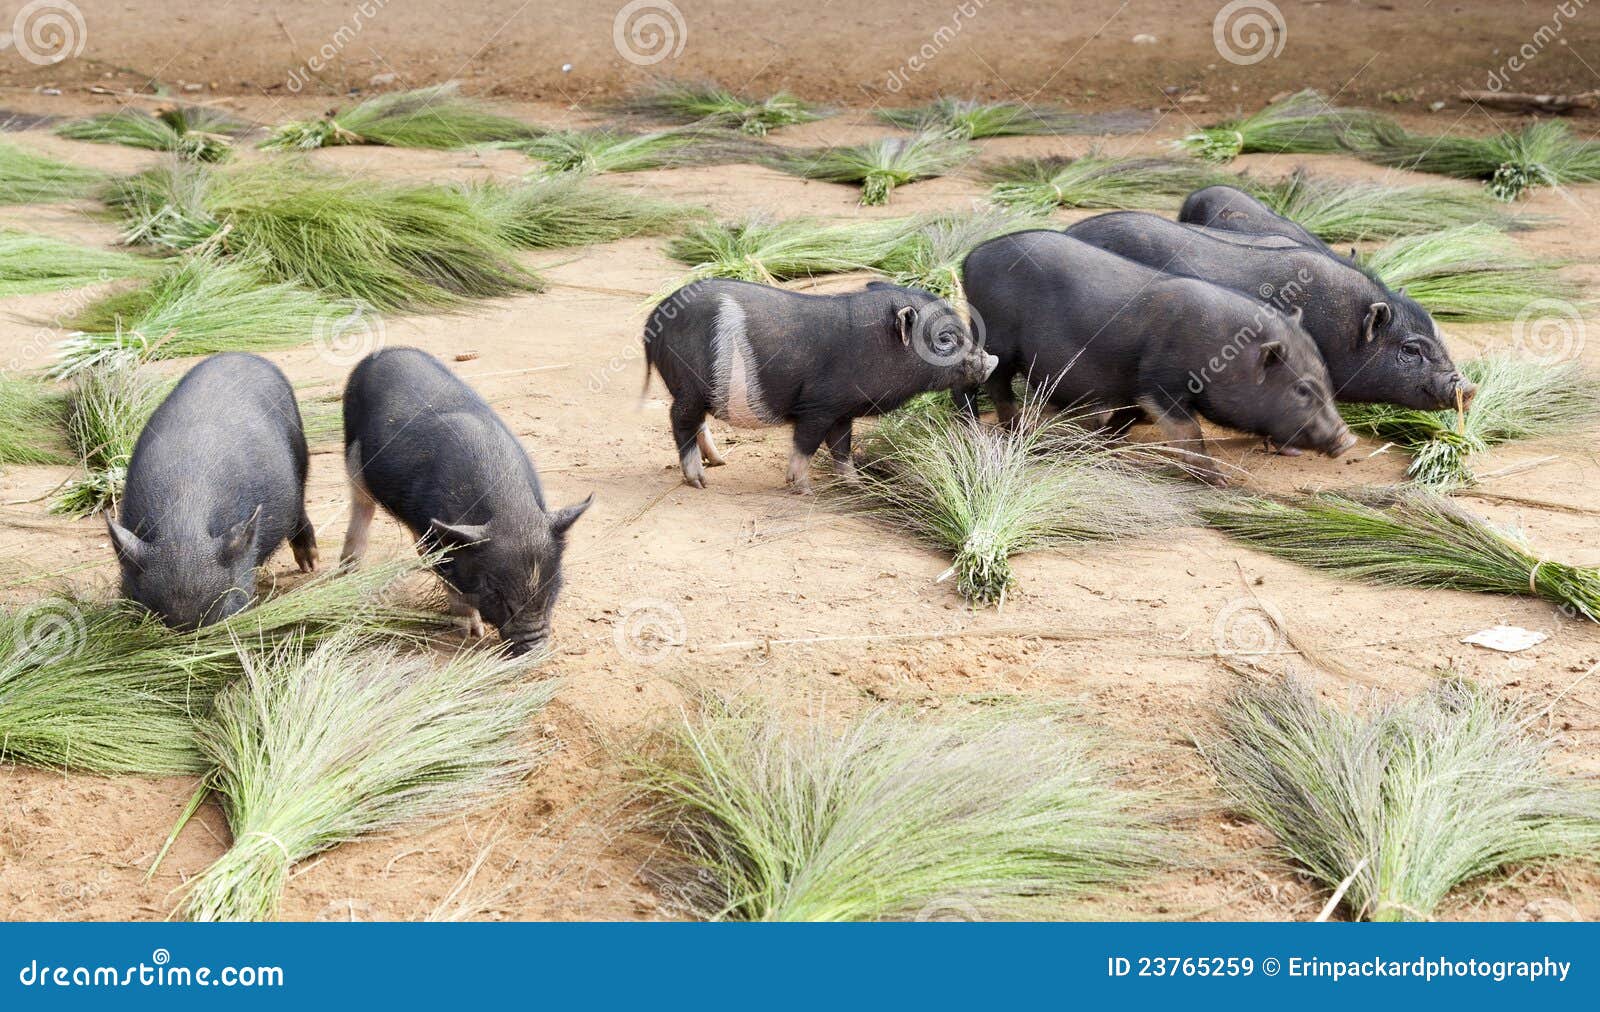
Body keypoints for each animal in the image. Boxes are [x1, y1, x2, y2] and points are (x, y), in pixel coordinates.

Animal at [105, 352, 317, 630]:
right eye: (149, 609)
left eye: (225, 603)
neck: (184, 526)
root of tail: (241, 354)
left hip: (300, 444)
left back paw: (310, 565)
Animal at [340, 347, 591, 656]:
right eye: (492, 588)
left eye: (553, 581)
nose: (534, 648)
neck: (510, 509)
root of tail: (382, 352)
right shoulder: (435, 536)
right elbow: (451, 581)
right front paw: (471, 633)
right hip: (353, 454)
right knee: (361, 505)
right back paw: (348, 570)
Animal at [642, 278, 997, 492]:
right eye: (945, 338)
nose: (990, 360)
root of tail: (653, 322)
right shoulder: (818, 407)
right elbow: (806, 444)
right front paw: (802, 488)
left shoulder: (842, 411)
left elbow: (842, 448)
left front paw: (857, 485)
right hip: (688, 385)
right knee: (680, 420)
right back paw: (700, 481)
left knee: (697, 422)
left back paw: (719, 462)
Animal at [960, 230, 1355, 483]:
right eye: (1302, 389)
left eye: (1326, 378)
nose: (1347, 439)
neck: (1222, 352)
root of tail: (971, 258)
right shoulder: (1163, 382)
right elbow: (1190, 431)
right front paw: (1220, 480)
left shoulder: (1138, 388)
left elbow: (1134, 414)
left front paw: (1106, 441)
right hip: (996, 340)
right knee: (983, 384)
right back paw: (1001, 428)